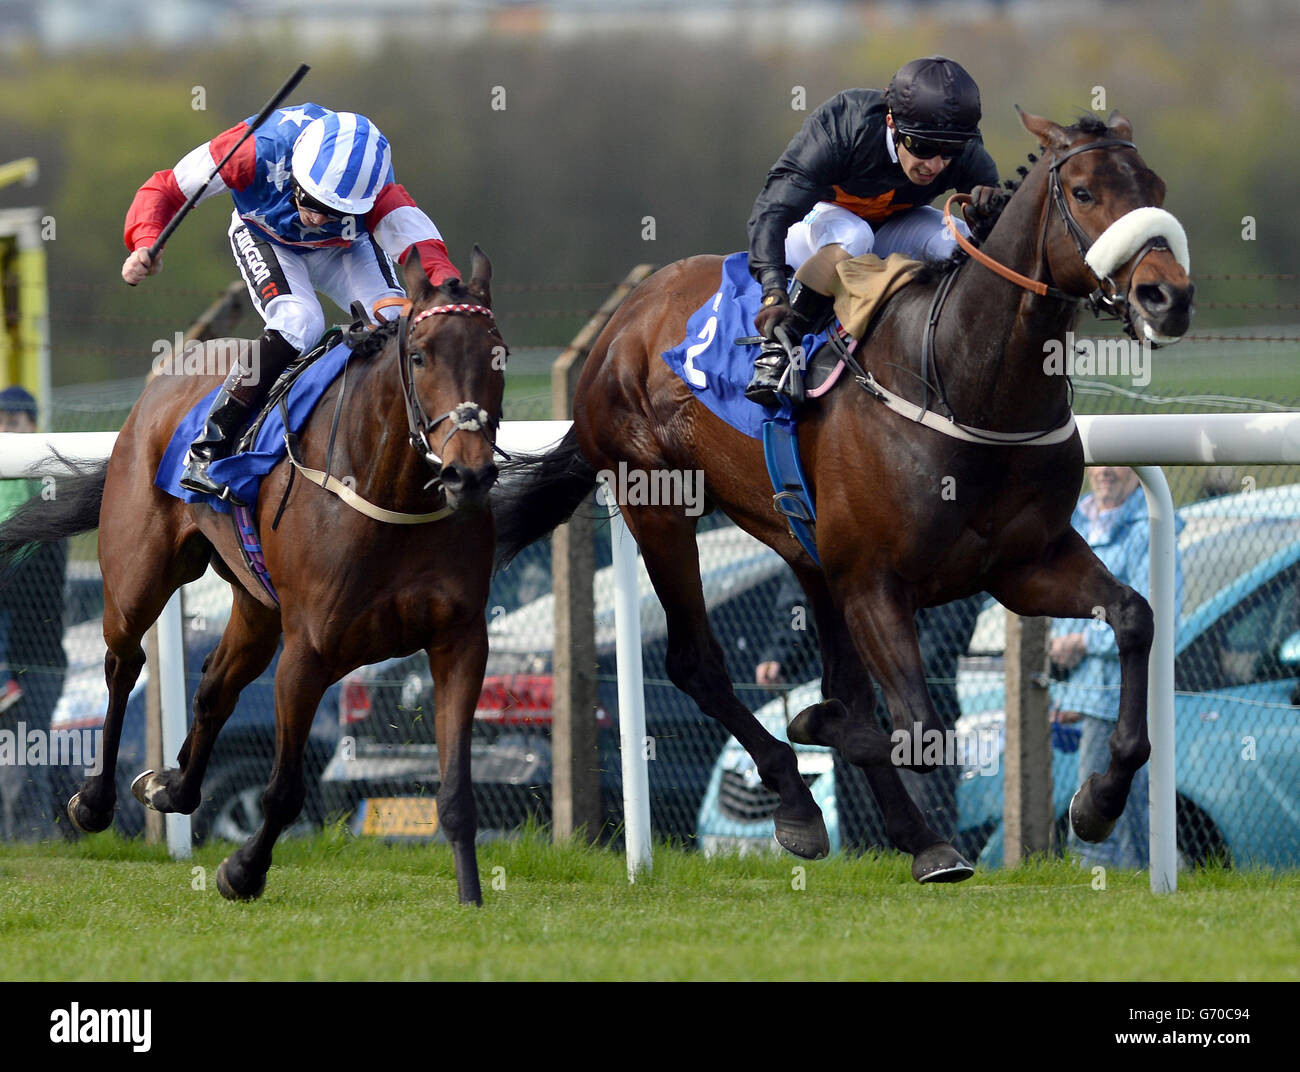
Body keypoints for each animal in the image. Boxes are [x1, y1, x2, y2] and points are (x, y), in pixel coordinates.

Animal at [0, 248, 505, 905]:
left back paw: (170, 786)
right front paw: (242, 870)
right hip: (138, 575)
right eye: (419, 356)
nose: (467, 476)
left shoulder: (460, 642)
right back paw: (94, 801)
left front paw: (472, 897)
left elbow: (457, 793)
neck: (391, 493)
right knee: (124, 662)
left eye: (498, 355)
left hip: (256, 605)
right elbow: (285, 791)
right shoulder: (308, 652)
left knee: (215, 686)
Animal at [493, 109, 1194, 882]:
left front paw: (1098, 800)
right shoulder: (873, 581)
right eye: (1084, 190)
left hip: (801, 547)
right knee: (696, 662)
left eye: (1156, 186)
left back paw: (920, 838)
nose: (1167, 297)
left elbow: (1133, 617)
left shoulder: (1022, 564)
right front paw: (816, 725)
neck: (960, 378)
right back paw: (800, 801)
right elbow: (915, 728)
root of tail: (622, 321)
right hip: (659, 505)